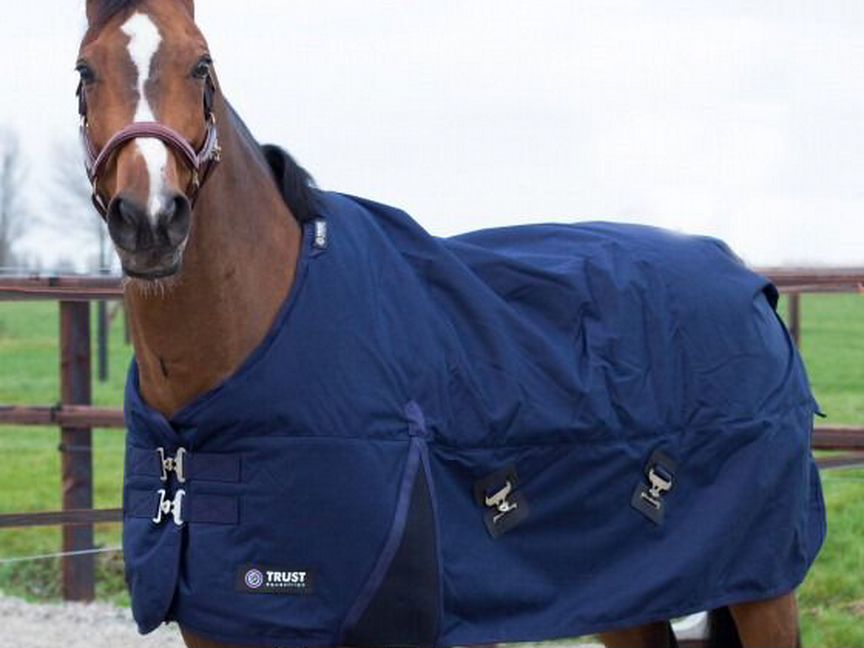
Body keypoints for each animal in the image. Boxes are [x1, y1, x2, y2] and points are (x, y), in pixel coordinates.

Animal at [76, 1, 823, 647]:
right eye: (86, 72)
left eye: (201, 66)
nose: (151, 219)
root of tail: (752, 283)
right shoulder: (219, 626)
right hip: (625, 596)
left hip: (763, 589)